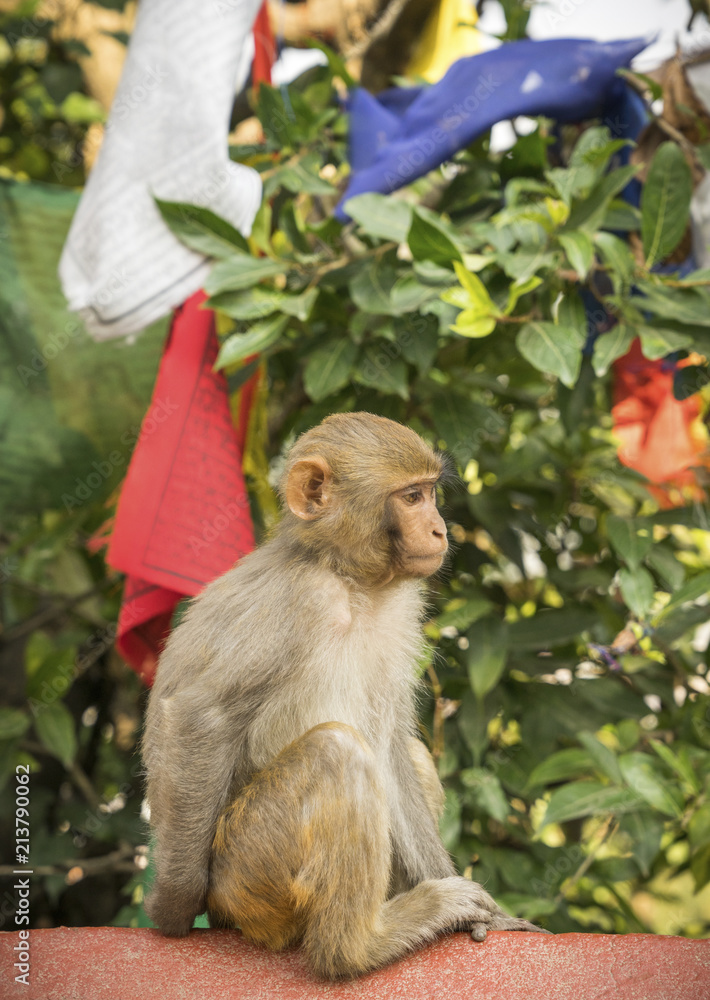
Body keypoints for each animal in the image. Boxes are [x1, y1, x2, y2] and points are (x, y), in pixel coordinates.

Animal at [142, 411, 546, 979]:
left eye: (429, 493)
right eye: (412, 498)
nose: (441, 529)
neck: (348, 577)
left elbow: (393, 746)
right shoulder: (295, 601)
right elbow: (201, 716)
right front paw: (174, 905)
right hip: (248, 873)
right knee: (337, 752)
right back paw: (356, 947)